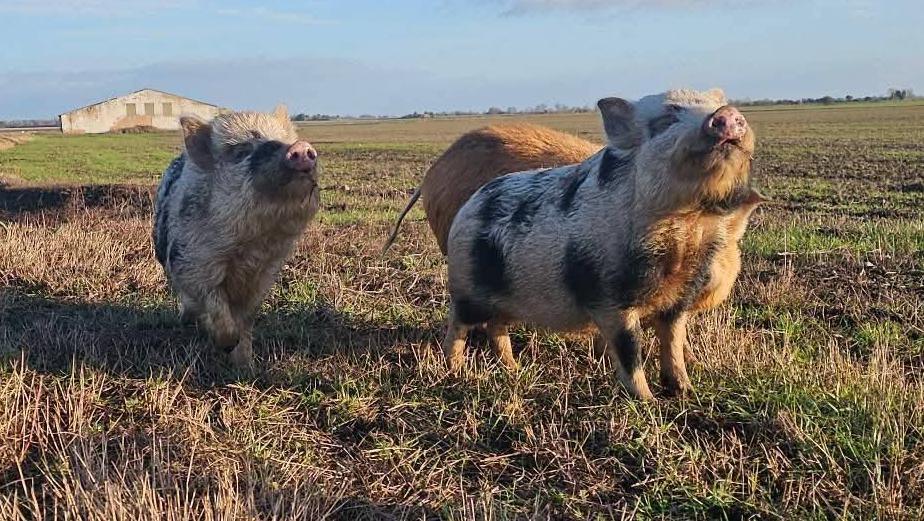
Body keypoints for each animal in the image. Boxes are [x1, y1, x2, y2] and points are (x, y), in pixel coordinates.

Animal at [153, 105, 320, 369]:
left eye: (283, 139)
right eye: (241, 152)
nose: (300, 147)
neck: (252, 243)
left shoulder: (264, 274)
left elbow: (246, 319)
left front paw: (246, 366)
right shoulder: (192, 264)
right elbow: (214, 301)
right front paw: (226, 344)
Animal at [443, 88, 762, 401]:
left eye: (715, 103)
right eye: (666, 120)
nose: (726, 114)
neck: (684, 227)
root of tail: (470, 204)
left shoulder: (679, 297)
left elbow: (673, 343)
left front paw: (685, 392)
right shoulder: (611, 298)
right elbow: (629, 349)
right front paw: (646, 402)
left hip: (507, 299)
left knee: (496, 326)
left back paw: (512, 368)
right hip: (468, 287)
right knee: (458, 324)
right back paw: (455, 371)